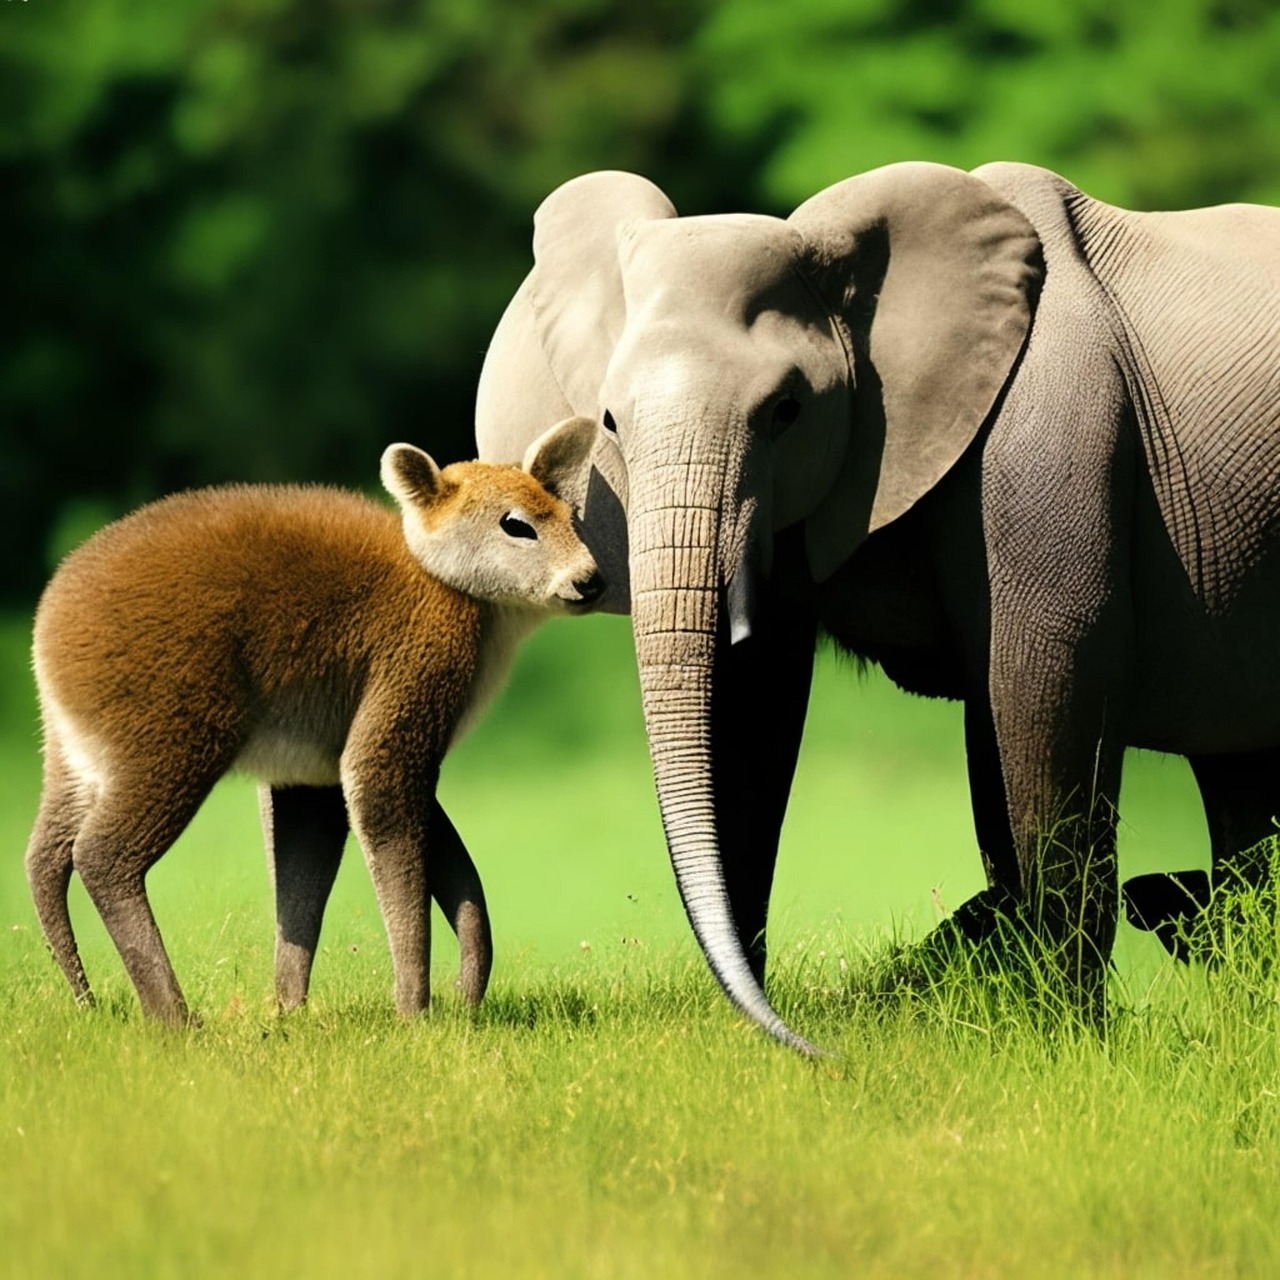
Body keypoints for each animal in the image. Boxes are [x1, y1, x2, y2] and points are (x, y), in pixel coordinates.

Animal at [474, 161, 1280, 1052]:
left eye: (785, 411)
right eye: (609, 420)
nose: (805, 1041)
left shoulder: (1054, 436)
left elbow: (1045, 683)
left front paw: (1065, 1040)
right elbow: (753, 708)